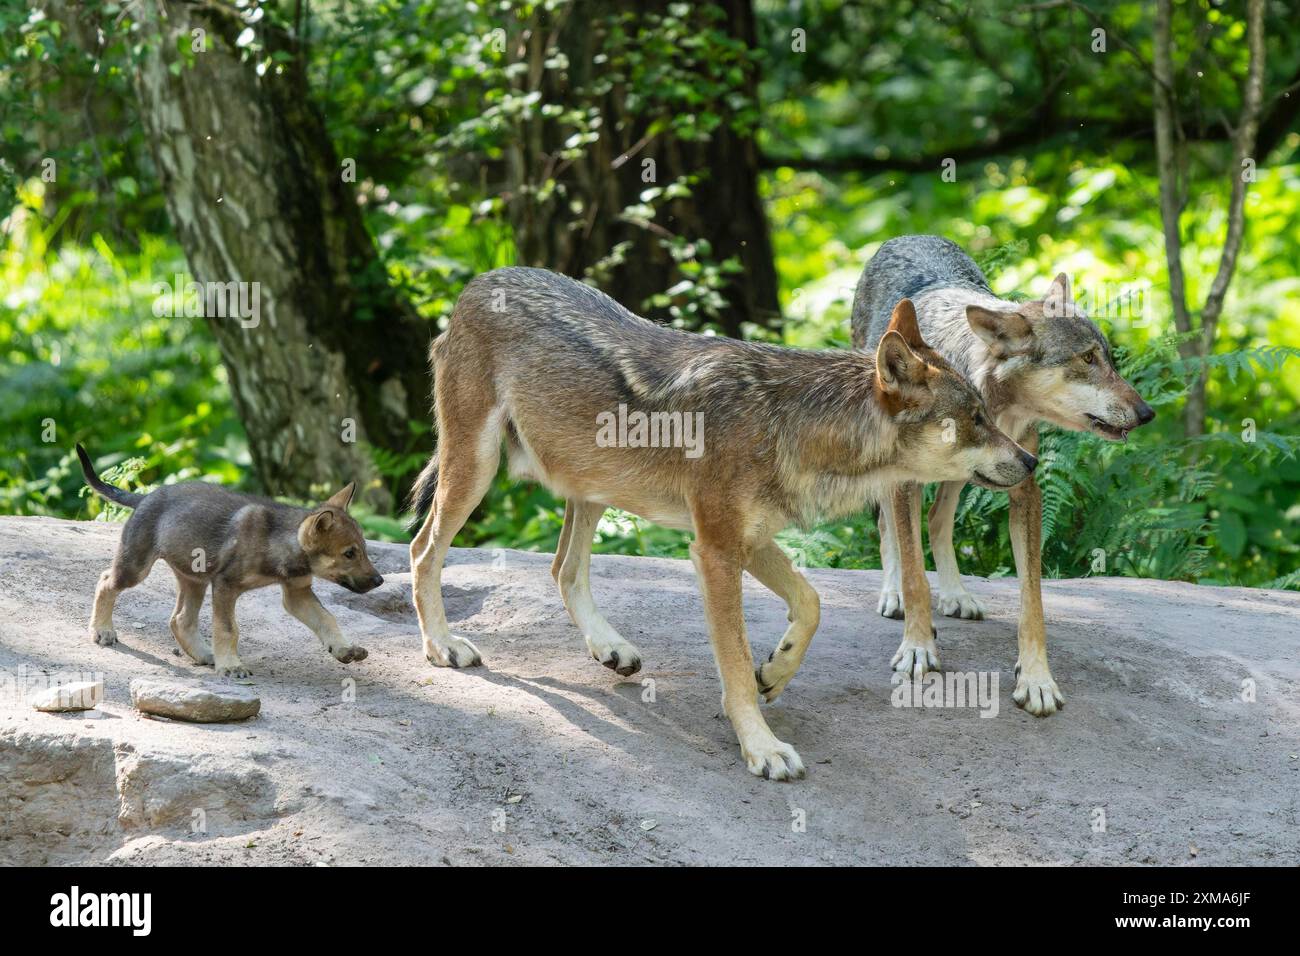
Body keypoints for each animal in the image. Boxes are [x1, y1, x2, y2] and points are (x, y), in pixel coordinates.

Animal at [77, 444, 381, 677]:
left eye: (364, 549)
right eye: (349, 553)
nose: (380, 580)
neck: (278, 541)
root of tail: (144, 497)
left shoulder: (297, 593)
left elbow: (327, 618)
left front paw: (343, 649)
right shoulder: (225, 586)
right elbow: (227, 629)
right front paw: (231, 666)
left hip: (194, 579)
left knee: (180, 620)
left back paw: (204, 655)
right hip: (136, 567)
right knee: (106, 581)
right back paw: (102, 631)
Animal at [407, 266, 1037, 781]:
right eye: (975, 418)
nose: (1031, 461)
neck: (789, 424)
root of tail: (475, 287)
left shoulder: (749, 540)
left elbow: (811, 605)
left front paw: (776, 671)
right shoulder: (714, 549)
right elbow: (733, 664)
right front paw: (762, 747)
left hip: (592, 485)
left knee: (563, 567)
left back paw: (610, 649)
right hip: (476, 469)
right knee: (422, 551)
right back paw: (444, 647)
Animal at [851, 235, 1154, 715]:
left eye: (1108, 358)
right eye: (1087, 358)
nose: (1147, 413)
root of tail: (907, 237)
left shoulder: (1025, 484)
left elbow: (1033, 602)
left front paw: (1036, 678)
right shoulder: (906, 481)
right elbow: (915, 575)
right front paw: (917, 647)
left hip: (972, 473)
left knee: (937, 520)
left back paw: (955, 594)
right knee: (889, 531)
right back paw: (892, 594)